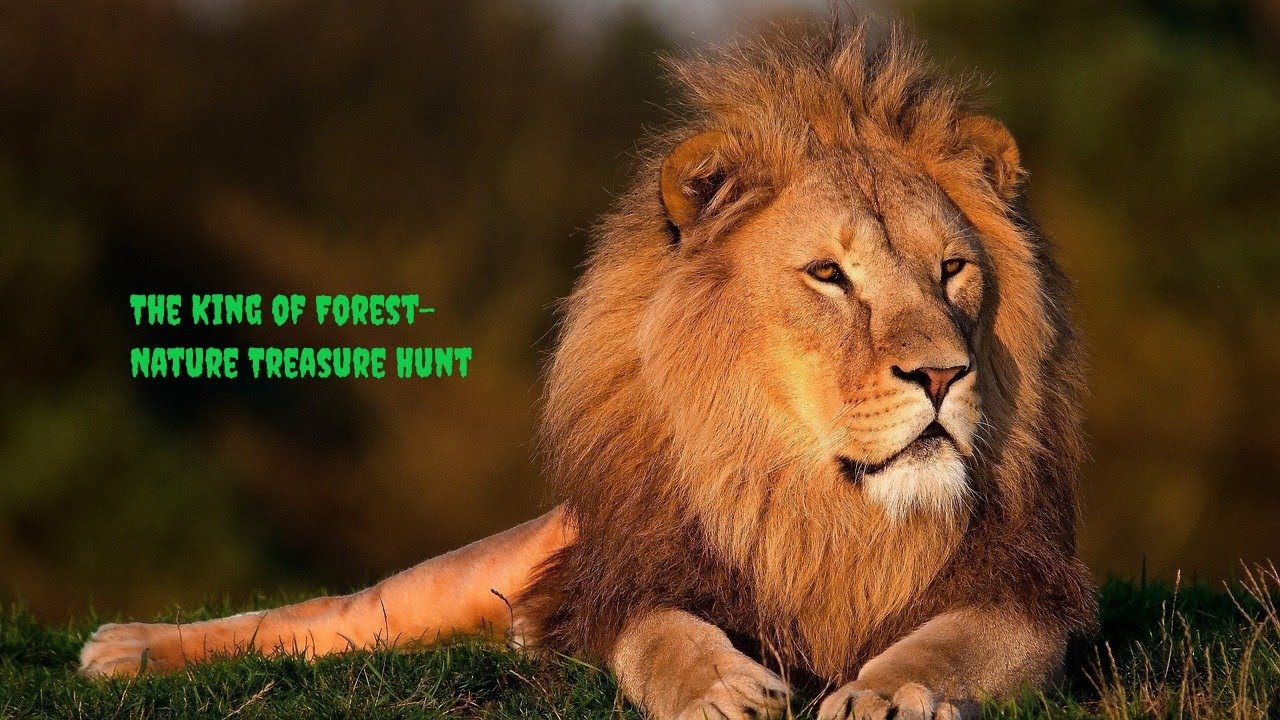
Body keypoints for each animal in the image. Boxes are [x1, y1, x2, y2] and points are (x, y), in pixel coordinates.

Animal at [79, 21, 1096, 720]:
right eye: (828, 275)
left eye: (952, 269)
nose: (944, 376)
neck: (818, 508)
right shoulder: (631, 583)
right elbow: (663, 636)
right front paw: (721, 689)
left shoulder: (1026, 595)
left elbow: (951, 644)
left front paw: (887, 692)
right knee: (331, 615)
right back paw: (122, 648)